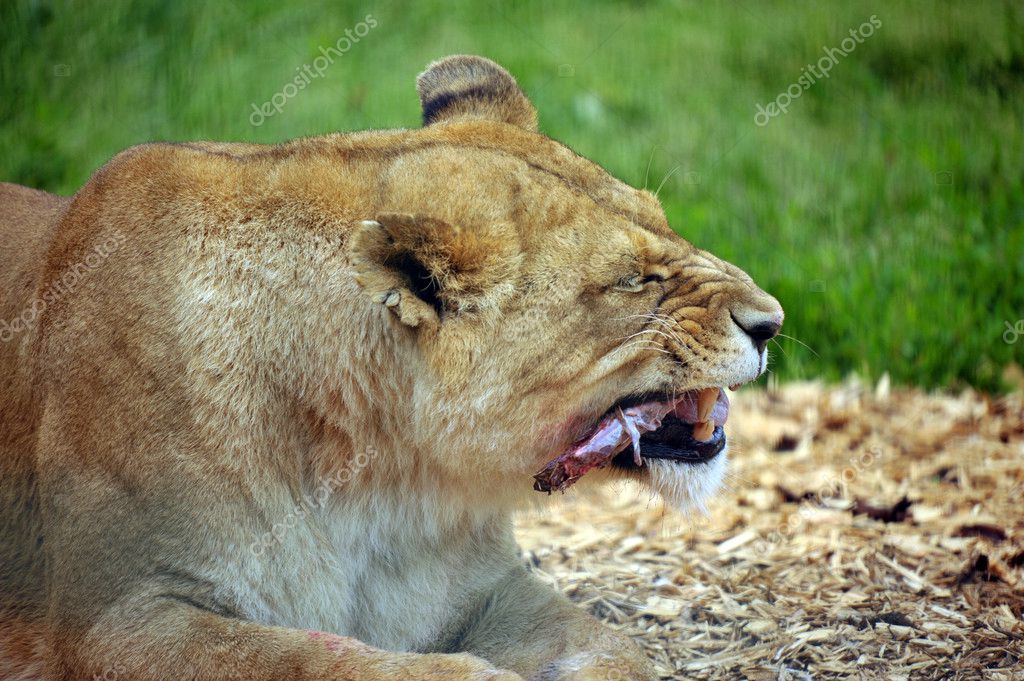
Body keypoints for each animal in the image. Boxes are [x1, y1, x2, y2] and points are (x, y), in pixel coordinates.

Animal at [0, 55, 783, 680]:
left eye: (665, 222)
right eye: (633, 281)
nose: (772, 320)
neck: (381, 473)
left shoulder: (489, 586)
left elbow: (615, 647)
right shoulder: (119, 618)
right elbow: (317, 659)